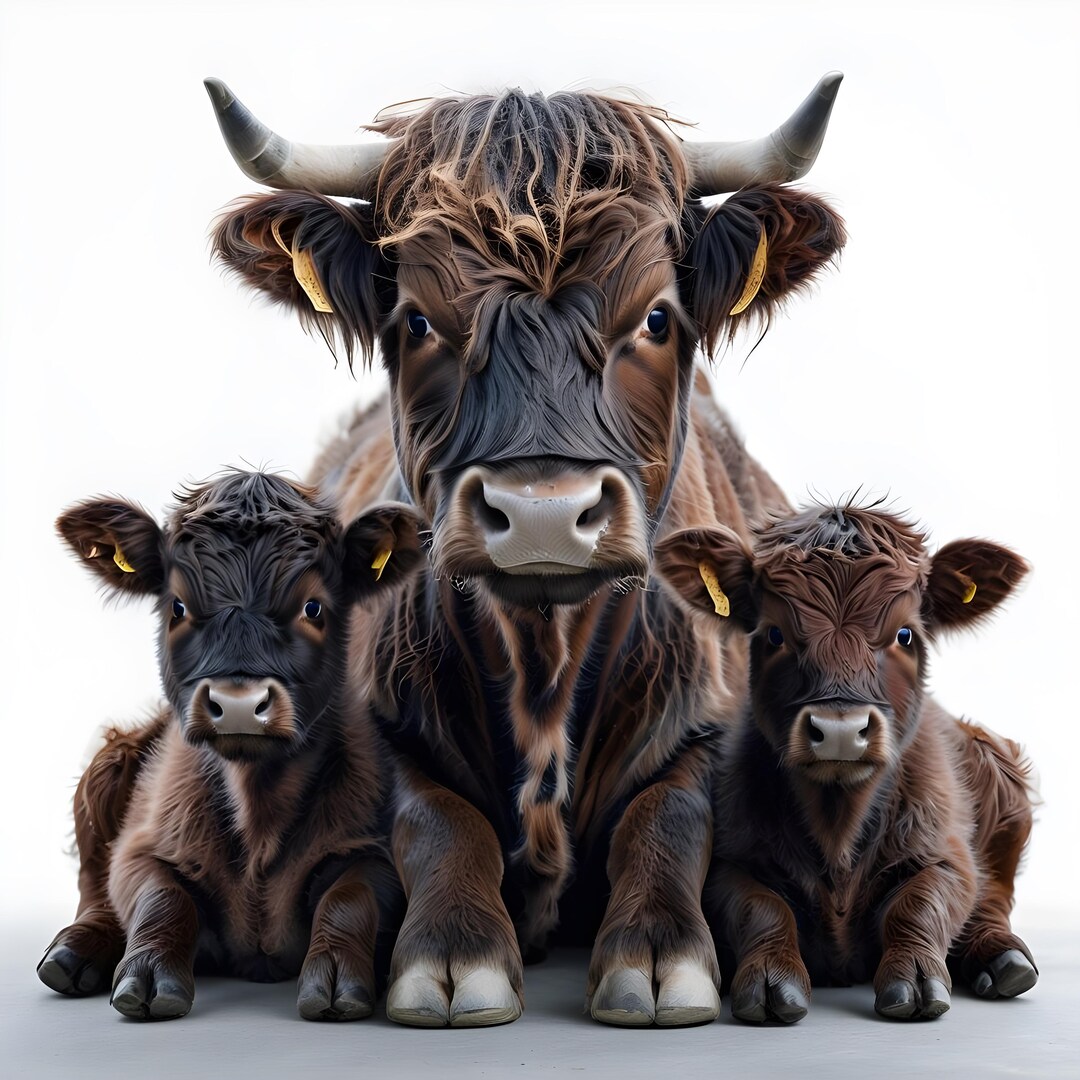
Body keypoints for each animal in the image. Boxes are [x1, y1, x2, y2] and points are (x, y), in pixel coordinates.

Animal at [37, 471, 423, 1020]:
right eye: (176, 607)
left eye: (313, 608)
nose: (238, 704)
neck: (257, 809)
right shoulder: (139, 848)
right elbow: (161, 898)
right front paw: (147, 977)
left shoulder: (372, 849)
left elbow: (349, 901)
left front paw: (335, 982)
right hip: (106, 766)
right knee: (92, 882)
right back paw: (74, 952)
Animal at [204, 75, 848, 1026]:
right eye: (418, 320)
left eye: (657, 316)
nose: (543, 513)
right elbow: (435, 820)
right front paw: (452, 954)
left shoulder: (710, 727)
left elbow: (673, 815)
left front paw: (659, 956)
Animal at [652, 502, 1038, 1021]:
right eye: (774, 634)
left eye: (905, 635)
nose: (839, 729)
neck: (837, 827)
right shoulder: (731, 864)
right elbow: (762, 909)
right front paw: (772, 980)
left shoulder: (948, 856)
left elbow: (920, 905)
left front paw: (915, 978)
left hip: (1006, 786)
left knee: (996, 890)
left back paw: (1002, 957)